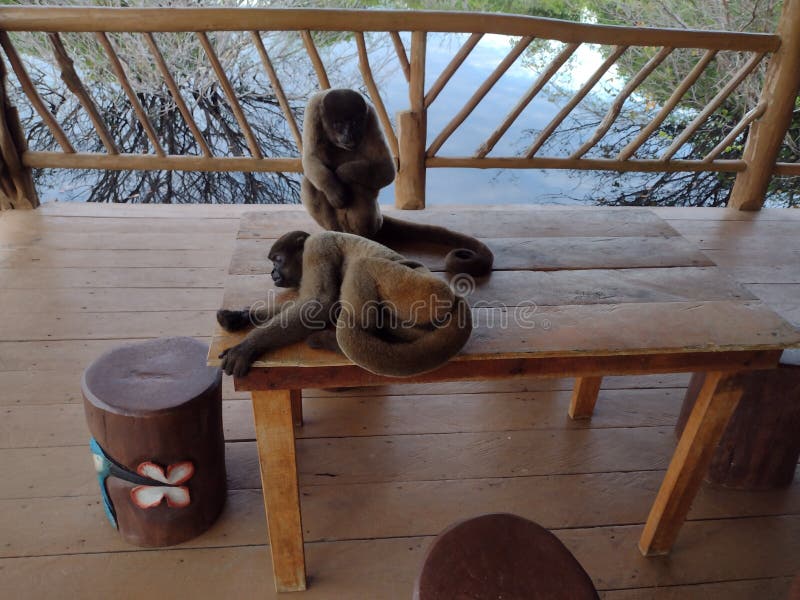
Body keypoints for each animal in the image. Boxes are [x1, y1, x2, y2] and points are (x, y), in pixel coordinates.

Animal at [216, 230, 473, 378]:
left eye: (277, 260)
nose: (272, 272)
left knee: (360, 267)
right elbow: (303, 302)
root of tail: (452, 296)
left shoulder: (317, 247)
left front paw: (247, 346)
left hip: (419, 292)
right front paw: (239, 316)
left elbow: (318, 304)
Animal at [300, 88, 494, 277]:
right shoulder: (313, 111)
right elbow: (310, 158)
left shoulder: (371, 118)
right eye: (338, 124)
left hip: (375, 220)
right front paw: (335, 190)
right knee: (310, 183)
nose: (347, 134)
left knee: (358, 186)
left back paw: (362, 236)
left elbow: (386, 169)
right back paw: (335, 231)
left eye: (354, 123)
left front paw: (342, 174)